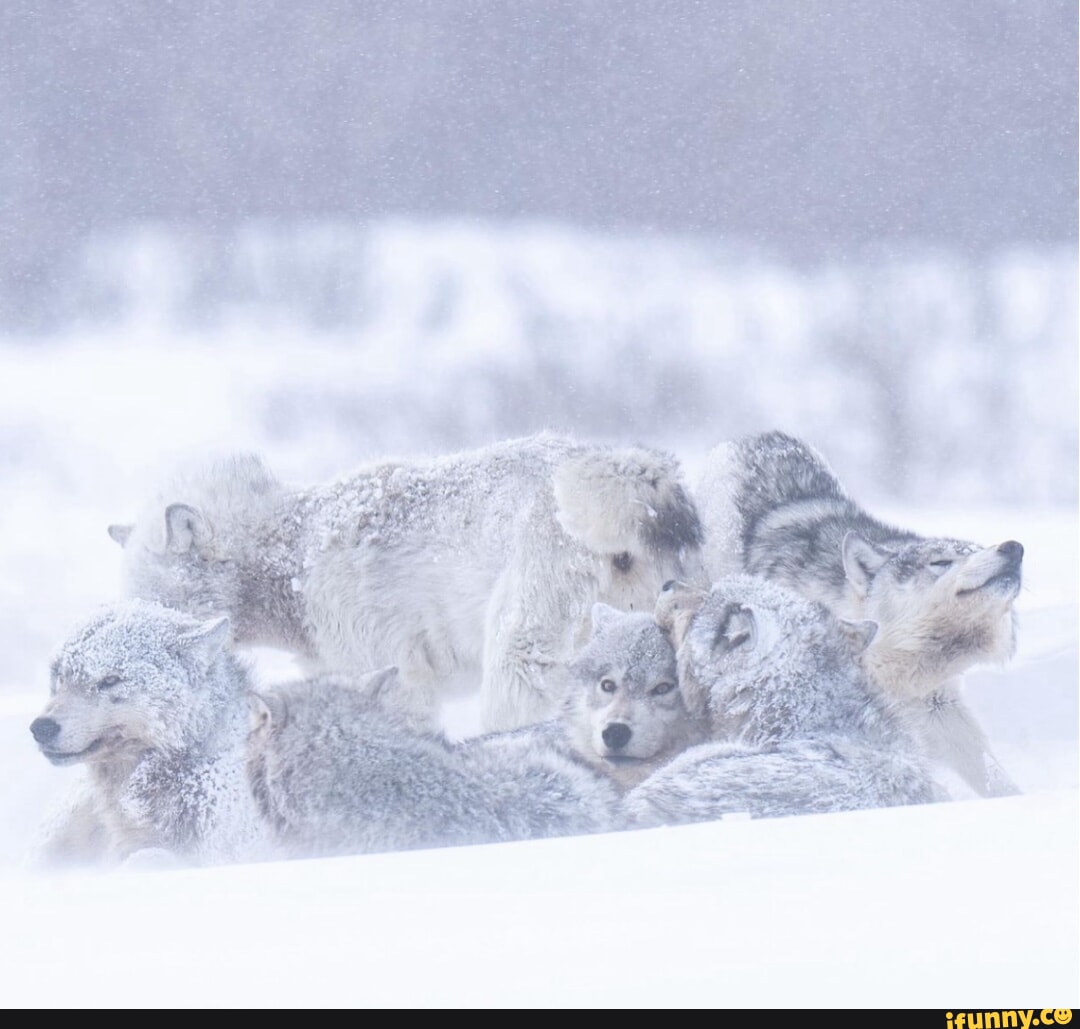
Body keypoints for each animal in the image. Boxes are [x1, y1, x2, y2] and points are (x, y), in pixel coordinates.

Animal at [694, 430, 1023, 797]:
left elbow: (992, 773)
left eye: (977, 549)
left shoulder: (936, 705)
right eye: (941, 562)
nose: (1014, 548)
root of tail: (761, 435)